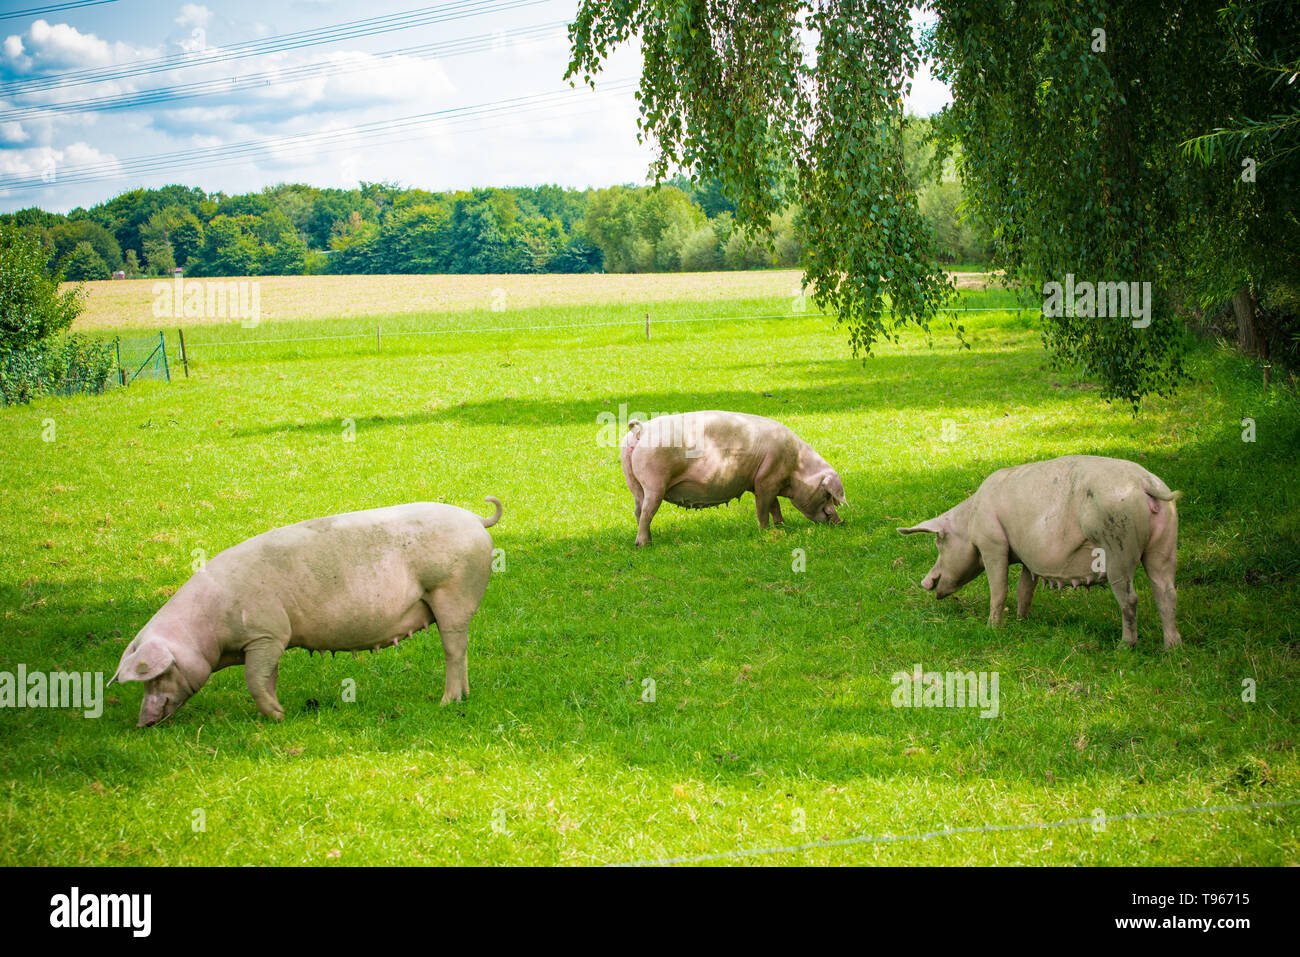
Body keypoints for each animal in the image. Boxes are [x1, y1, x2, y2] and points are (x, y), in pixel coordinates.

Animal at [110, 498, 502, 726]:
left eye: (157, 676)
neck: (210, 629)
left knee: (453, 648)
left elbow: (254, 679)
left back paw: (447, 702)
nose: (142, 722)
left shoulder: (267, 632)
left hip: (452, 591)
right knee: (463, 648)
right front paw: (278, 711)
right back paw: (464, 696)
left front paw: (279, 717)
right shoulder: (269, 641)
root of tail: (476, 520)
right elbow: (269, 677)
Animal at [619, 410, 846, 547]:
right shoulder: (766, 481)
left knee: (638, 510)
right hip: (654, 482)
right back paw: (643, 545)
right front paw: (765, 531)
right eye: (827, 495)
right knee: (647, 511)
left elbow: (775, 506)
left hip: (634, 483)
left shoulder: (766, 482)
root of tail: (641, 429)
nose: (840, 521)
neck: (797, 466)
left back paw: (649, 540)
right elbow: (763, 507)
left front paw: (782, 526)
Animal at [898, 455, 1182, 648]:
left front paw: (992, 628)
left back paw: (1125, 646)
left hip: (1117, 544)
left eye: (939, 542)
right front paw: (1021, 621)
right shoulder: (1028, 558)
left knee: (1131, 598)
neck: (970, 518)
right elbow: (1025, 589)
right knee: (1166, 592)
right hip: (1165, 542)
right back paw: (1172, 648)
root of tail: (1144, 484)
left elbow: (1000, 590)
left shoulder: (992, 543)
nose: (924, 582)